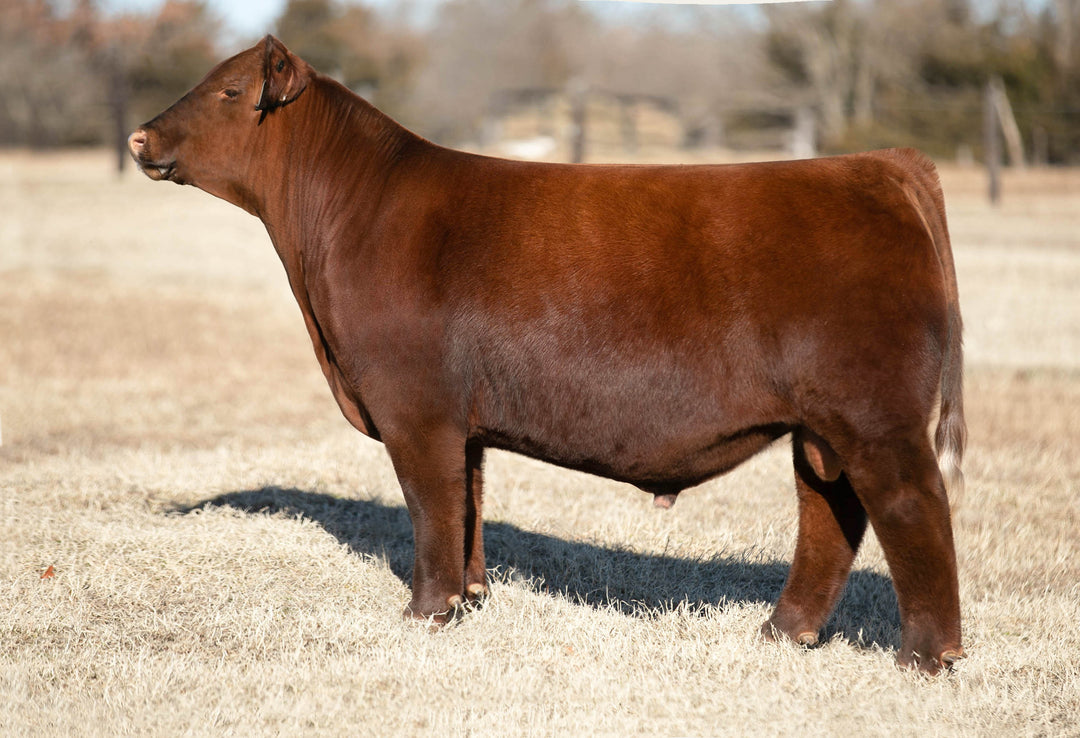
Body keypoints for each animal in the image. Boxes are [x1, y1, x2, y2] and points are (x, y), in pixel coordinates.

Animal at [129, 36, 966, 673]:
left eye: (230, 91)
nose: (139, 137)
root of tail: (878, 163)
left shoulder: (416, 411)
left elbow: (431, 507)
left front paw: (424, 613)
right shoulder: (461, 422)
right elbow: (467, 506)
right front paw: (469, 601)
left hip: (876, 417)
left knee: (911, 506)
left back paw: (927, 657)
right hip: (823, 428)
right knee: (830, 514)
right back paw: (781, 633)